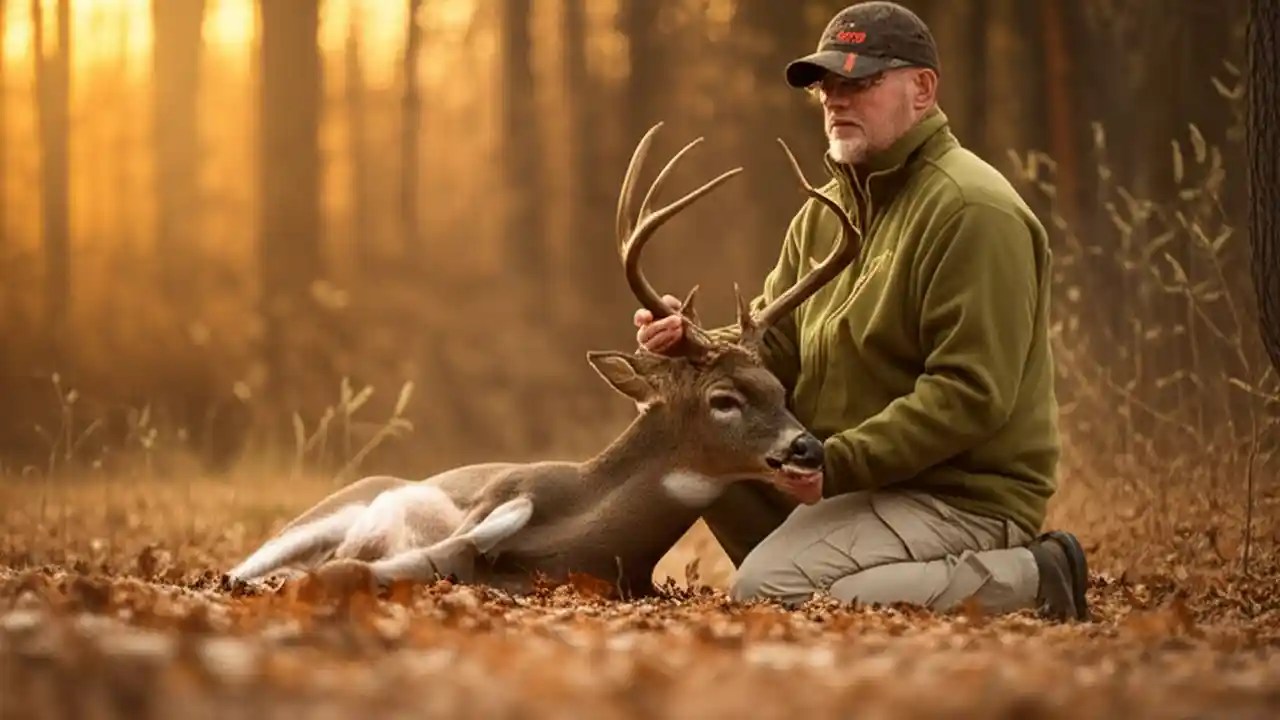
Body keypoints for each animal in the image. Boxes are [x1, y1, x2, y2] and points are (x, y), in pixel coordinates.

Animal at [223, 122, 862, 599]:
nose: (807, 448)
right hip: (328, 508)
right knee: (249, 562)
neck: (582, 524)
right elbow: (423, 549)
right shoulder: (503, 490)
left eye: (779, 389)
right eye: (724, 399)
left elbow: (411, 562)